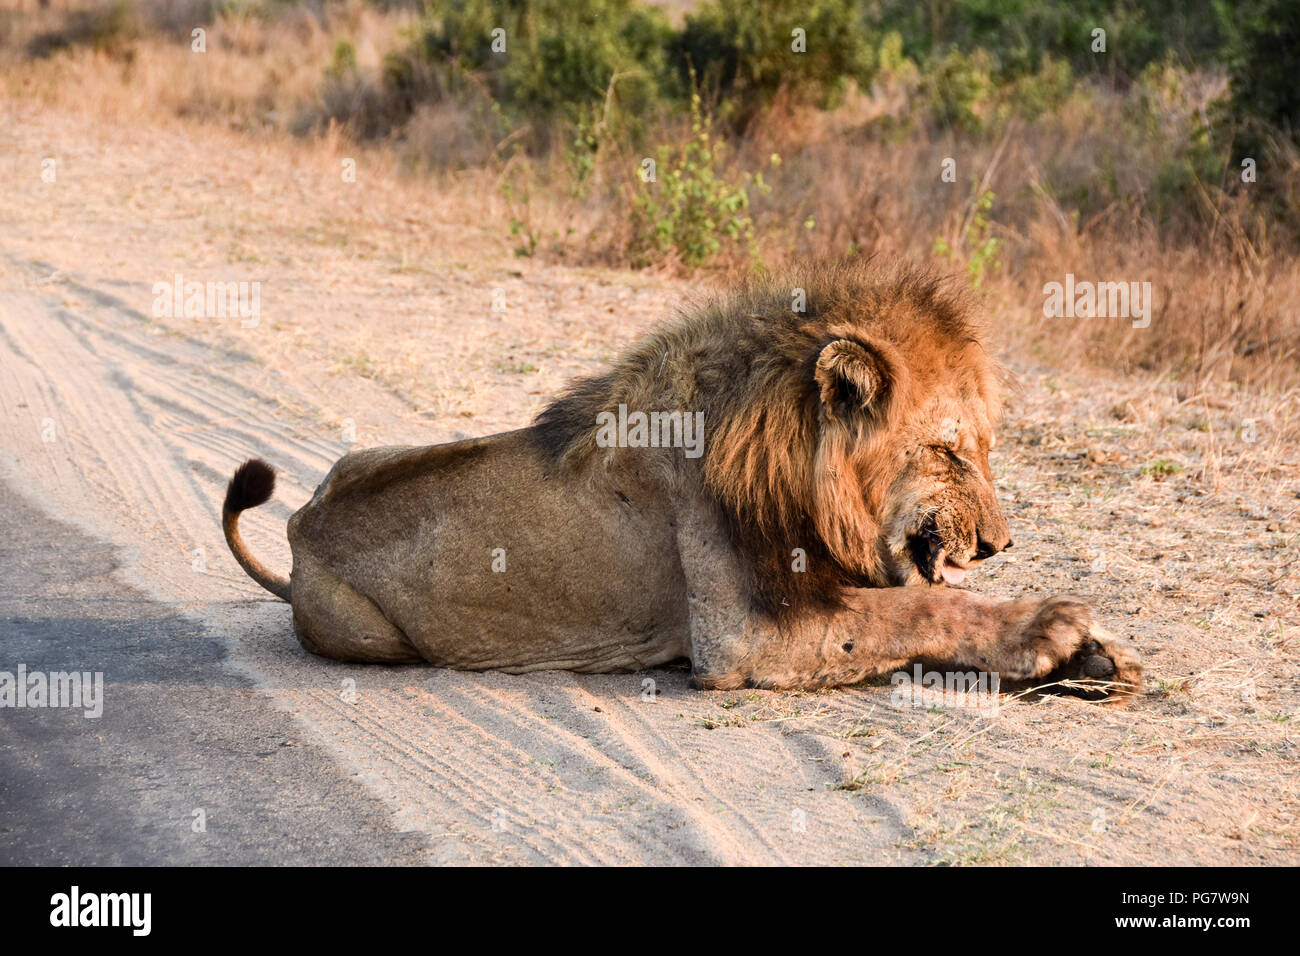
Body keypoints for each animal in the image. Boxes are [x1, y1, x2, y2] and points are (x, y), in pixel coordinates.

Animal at [223, 259, 1141, 700]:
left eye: (985, 447)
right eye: (950, 452)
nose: (1001, 543)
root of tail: (299, 529)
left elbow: (913, 607)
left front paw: (1098, 659)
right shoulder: (741, 638)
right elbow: (917, 610)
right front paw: (1050, 629)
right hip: (364, 633)